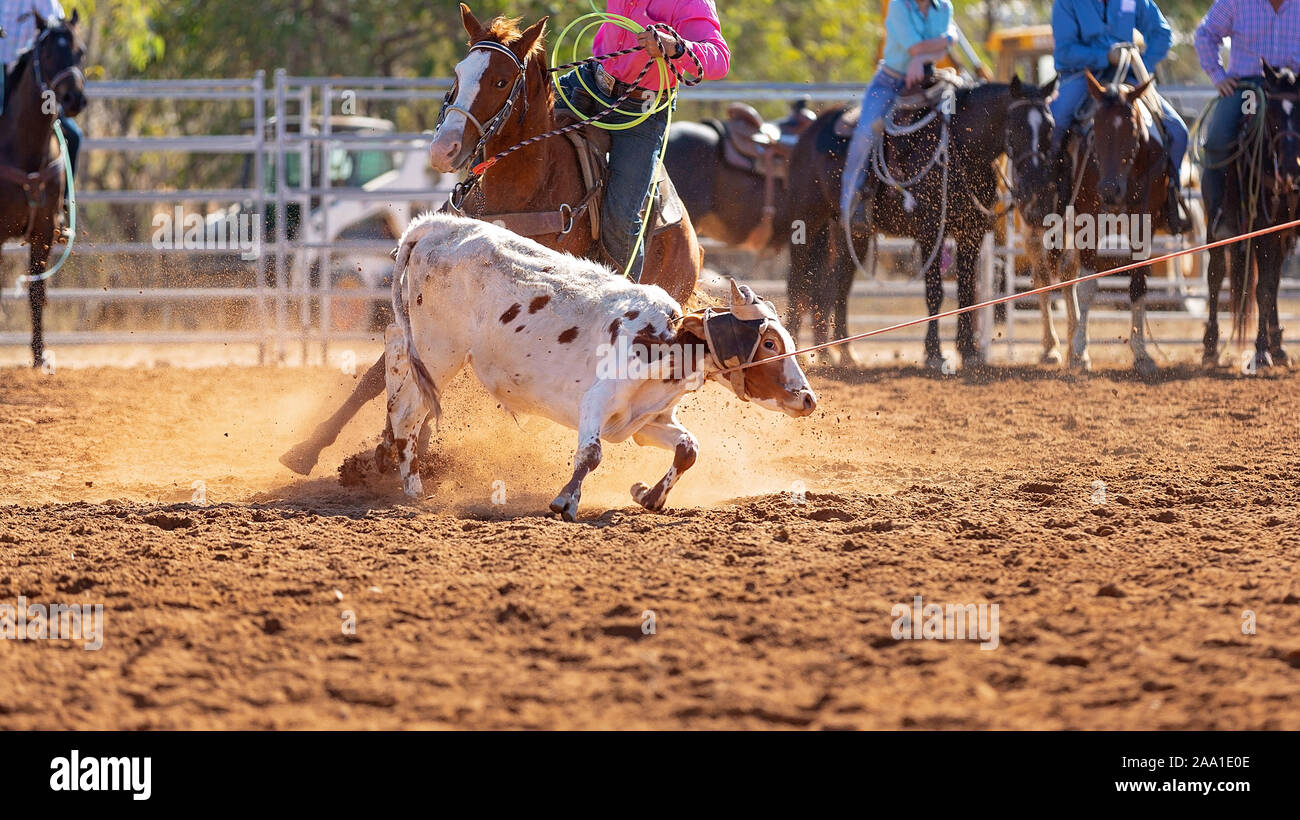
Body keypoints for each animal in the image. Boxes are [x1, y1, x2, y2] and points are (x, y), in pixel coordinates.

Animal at [385, 212, 818, 520]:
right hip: (439, 351)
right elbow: (591, 455)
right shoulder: (595, 401)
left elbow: (687, 448)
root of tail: (436, 226)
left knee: (394, 356)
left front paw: (648, 495)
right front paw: (565, 501)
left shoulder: (645, 423)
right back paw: (413, 488)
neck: (667, 341)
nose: (808, 399)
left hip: (421, 345)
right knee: (408, 411)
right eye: (769, 342)